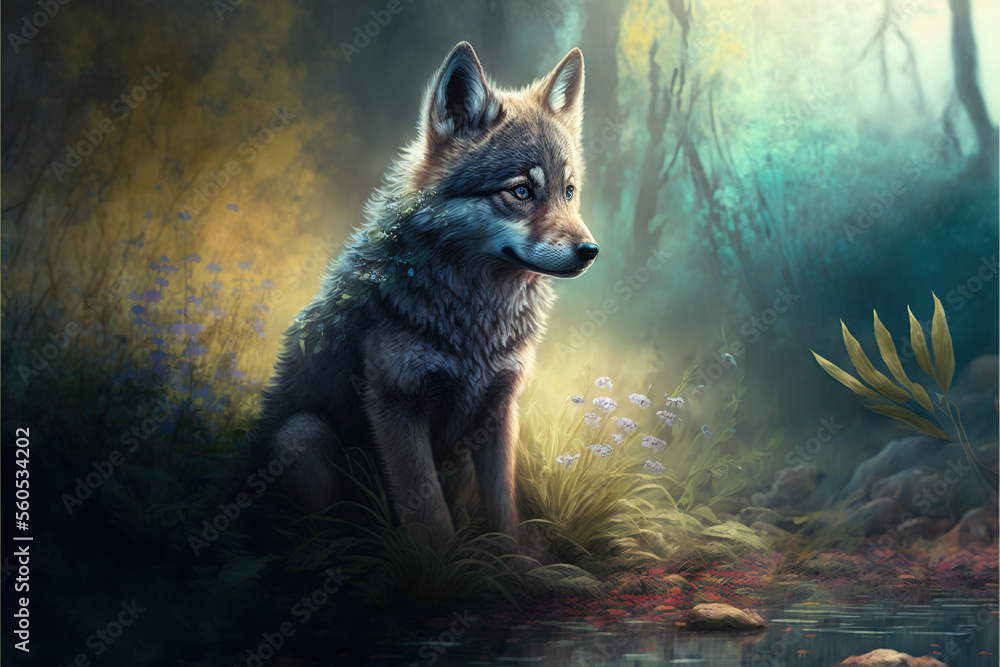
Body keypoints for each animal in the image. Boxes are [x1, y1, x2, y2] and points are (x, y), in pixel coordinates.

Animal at [253, 41, 598, 549]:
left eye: (569, 192)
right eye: (521, 191)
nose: (590, 251)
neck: (476, 320)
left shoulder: (497, 412)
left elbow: (506, 510)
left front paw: (519, 562)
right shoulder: (397, 407)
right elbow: (431, 516)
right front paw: (441, 567)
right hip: (303, 434)